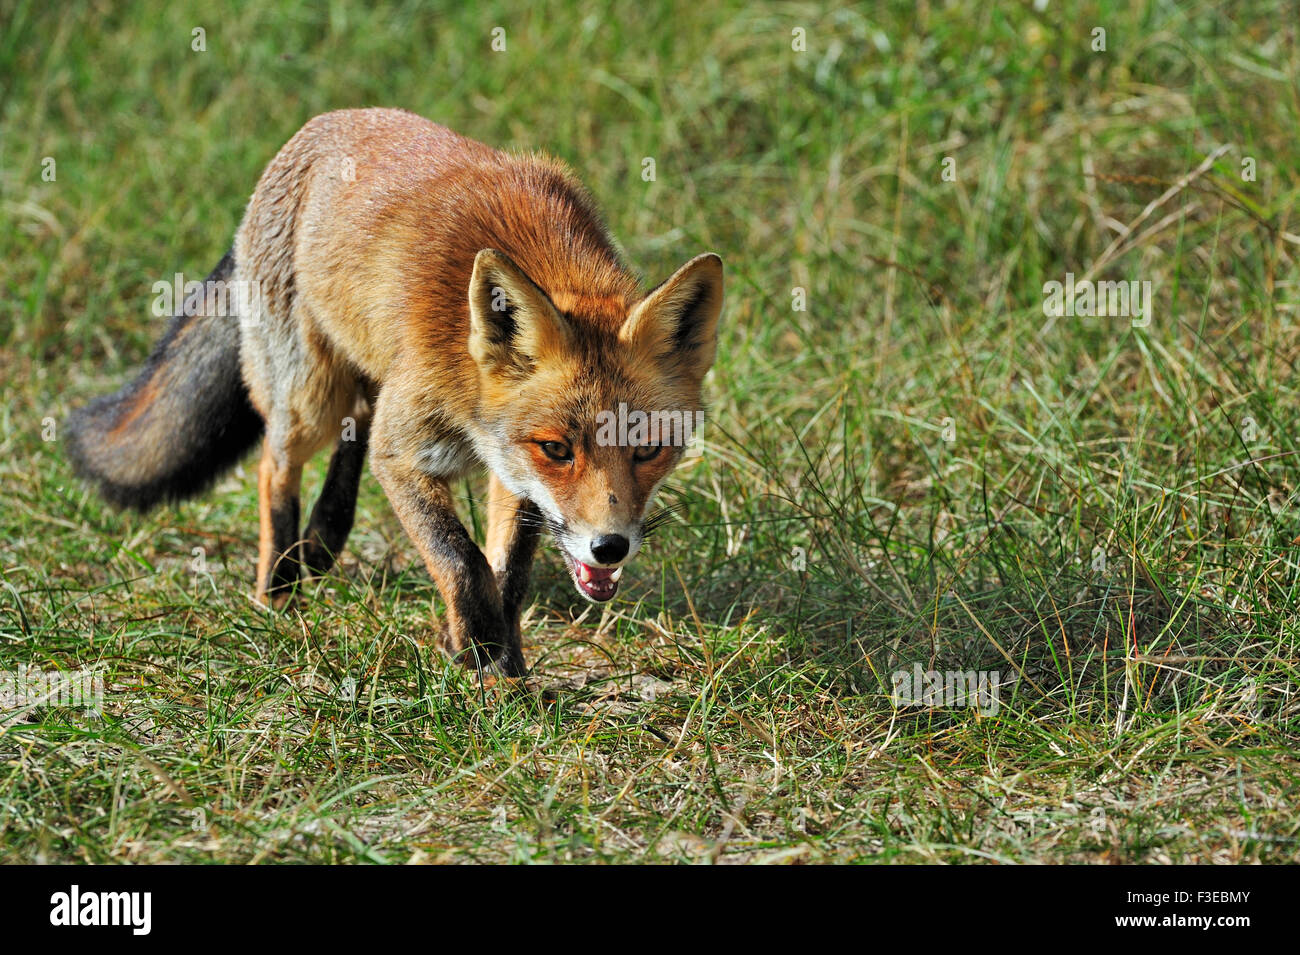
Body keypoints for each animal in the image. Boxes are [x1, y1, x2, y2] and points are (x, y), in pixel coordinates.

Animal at [66, 107, 724, 679]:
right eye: (557, 450)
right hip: (309, 396)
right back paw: (277, 587)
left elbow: (506, 573)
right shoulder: (410, 454)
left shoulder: (507, 472)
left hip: (361, 387)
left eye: (648, 451)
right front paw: (481, 659)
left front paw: (503, 660)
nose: (609, 547)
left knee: (357, 426)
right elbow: (463, 560)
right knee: (276, 465)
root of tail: (321, 123)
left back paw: (322, 541)